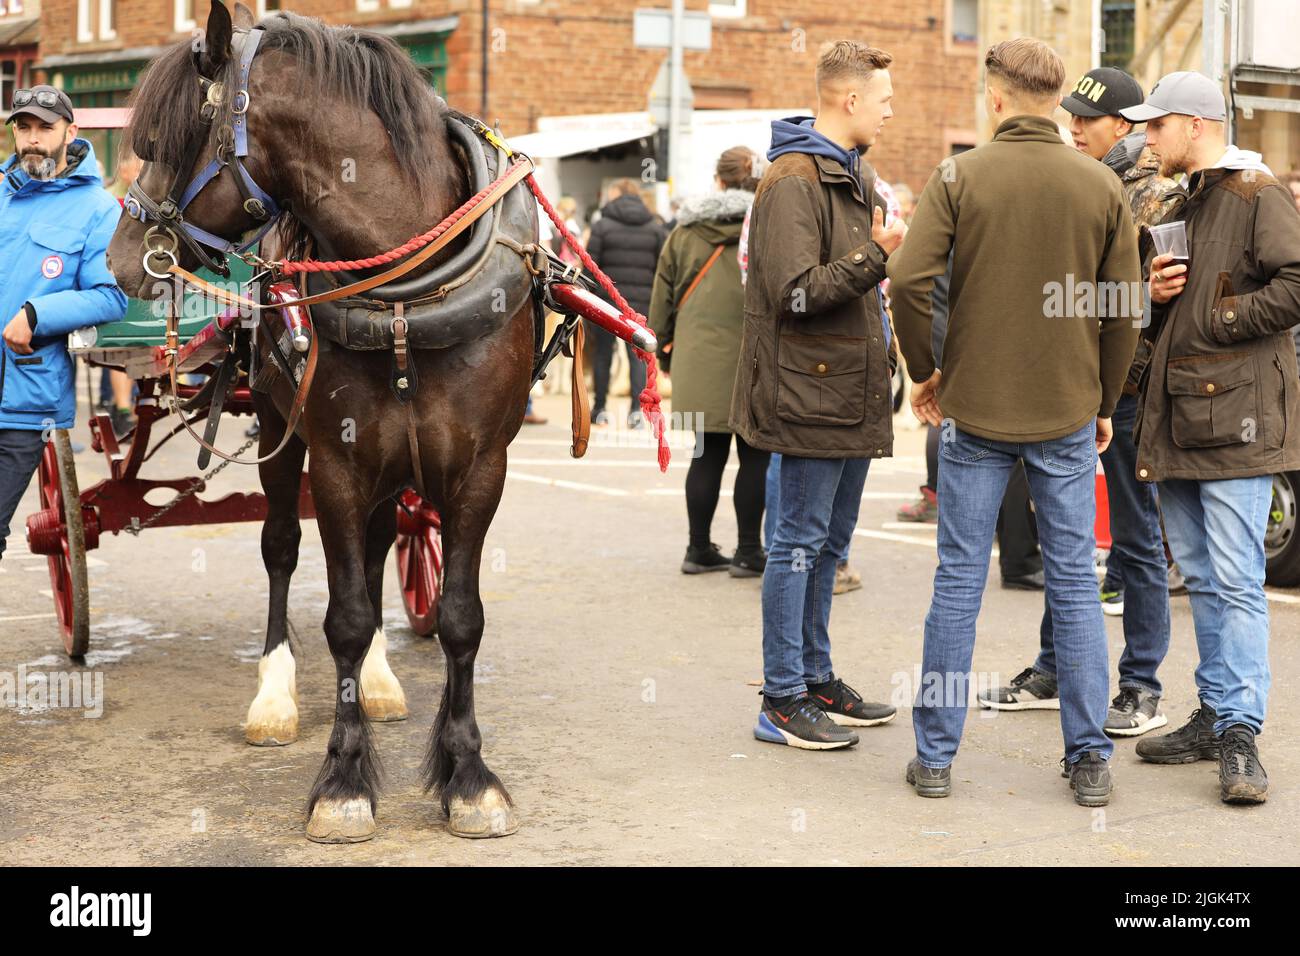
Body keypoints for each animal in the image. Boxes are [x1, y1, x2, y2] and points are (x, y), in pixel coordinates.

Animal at [106, 2, 535, 841]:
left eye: (166, 140)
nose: (117, 257)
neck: (407, 298)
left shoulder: (480, 466)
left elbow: (459, 617)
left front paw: (468, 777)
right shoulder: (336, 463)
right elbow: (343, 616)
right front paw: (343, 781)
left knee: (377, 547)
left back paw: (378, 681)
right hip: (284, 430)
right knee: (279, 546)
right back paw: (274, 693)